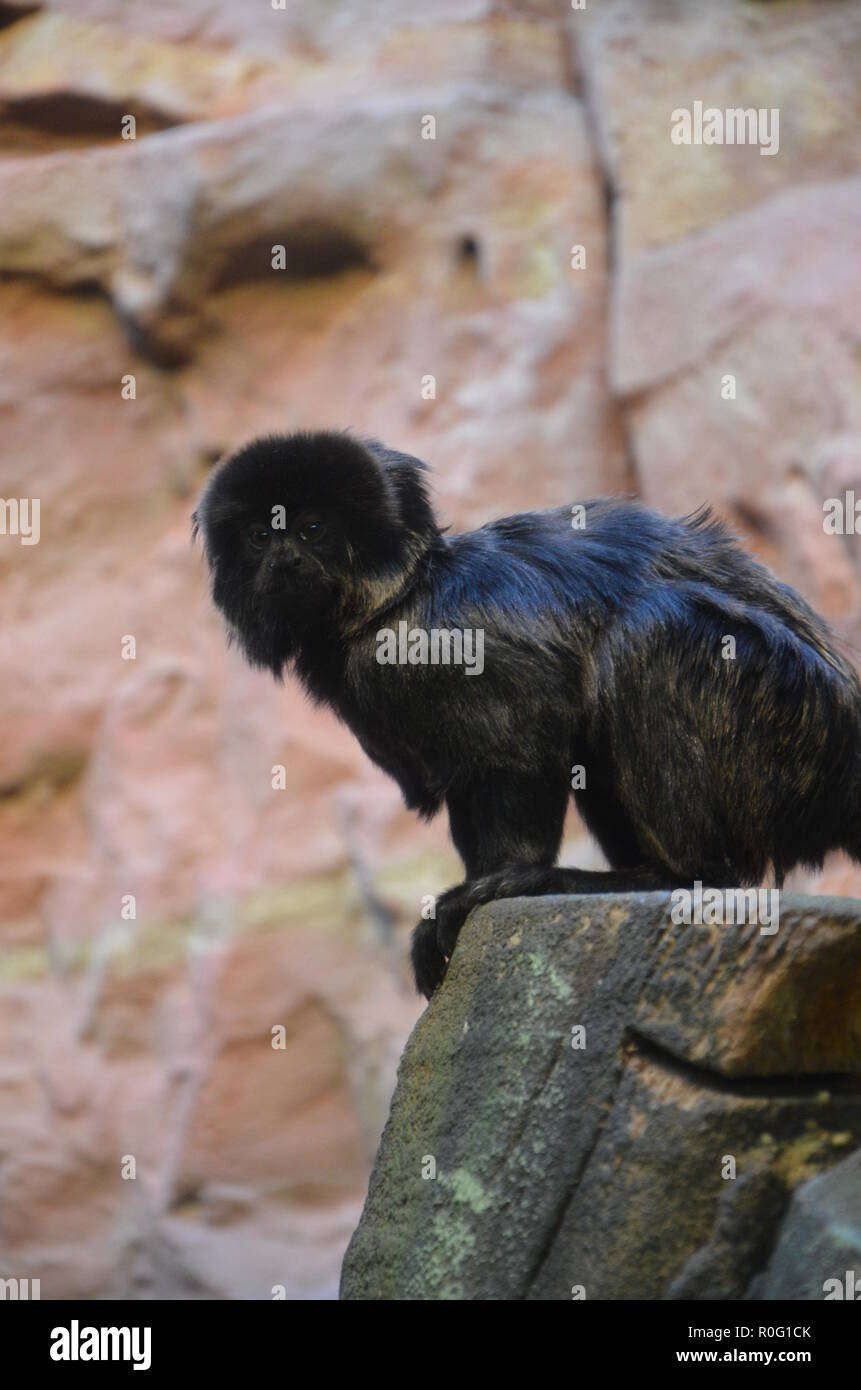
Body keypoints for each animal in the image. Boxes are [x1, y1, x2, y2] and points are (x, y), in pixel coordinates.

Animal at [193, 430, 861, 999]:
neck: (397, 599)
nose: (284, 560)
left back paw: (659, 877)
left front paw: (509, 880)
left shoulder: (433, 649)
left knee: (649, 632)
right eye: (260, 536)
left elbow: (524, 742)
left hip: (794, 723)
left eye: (310, 530)